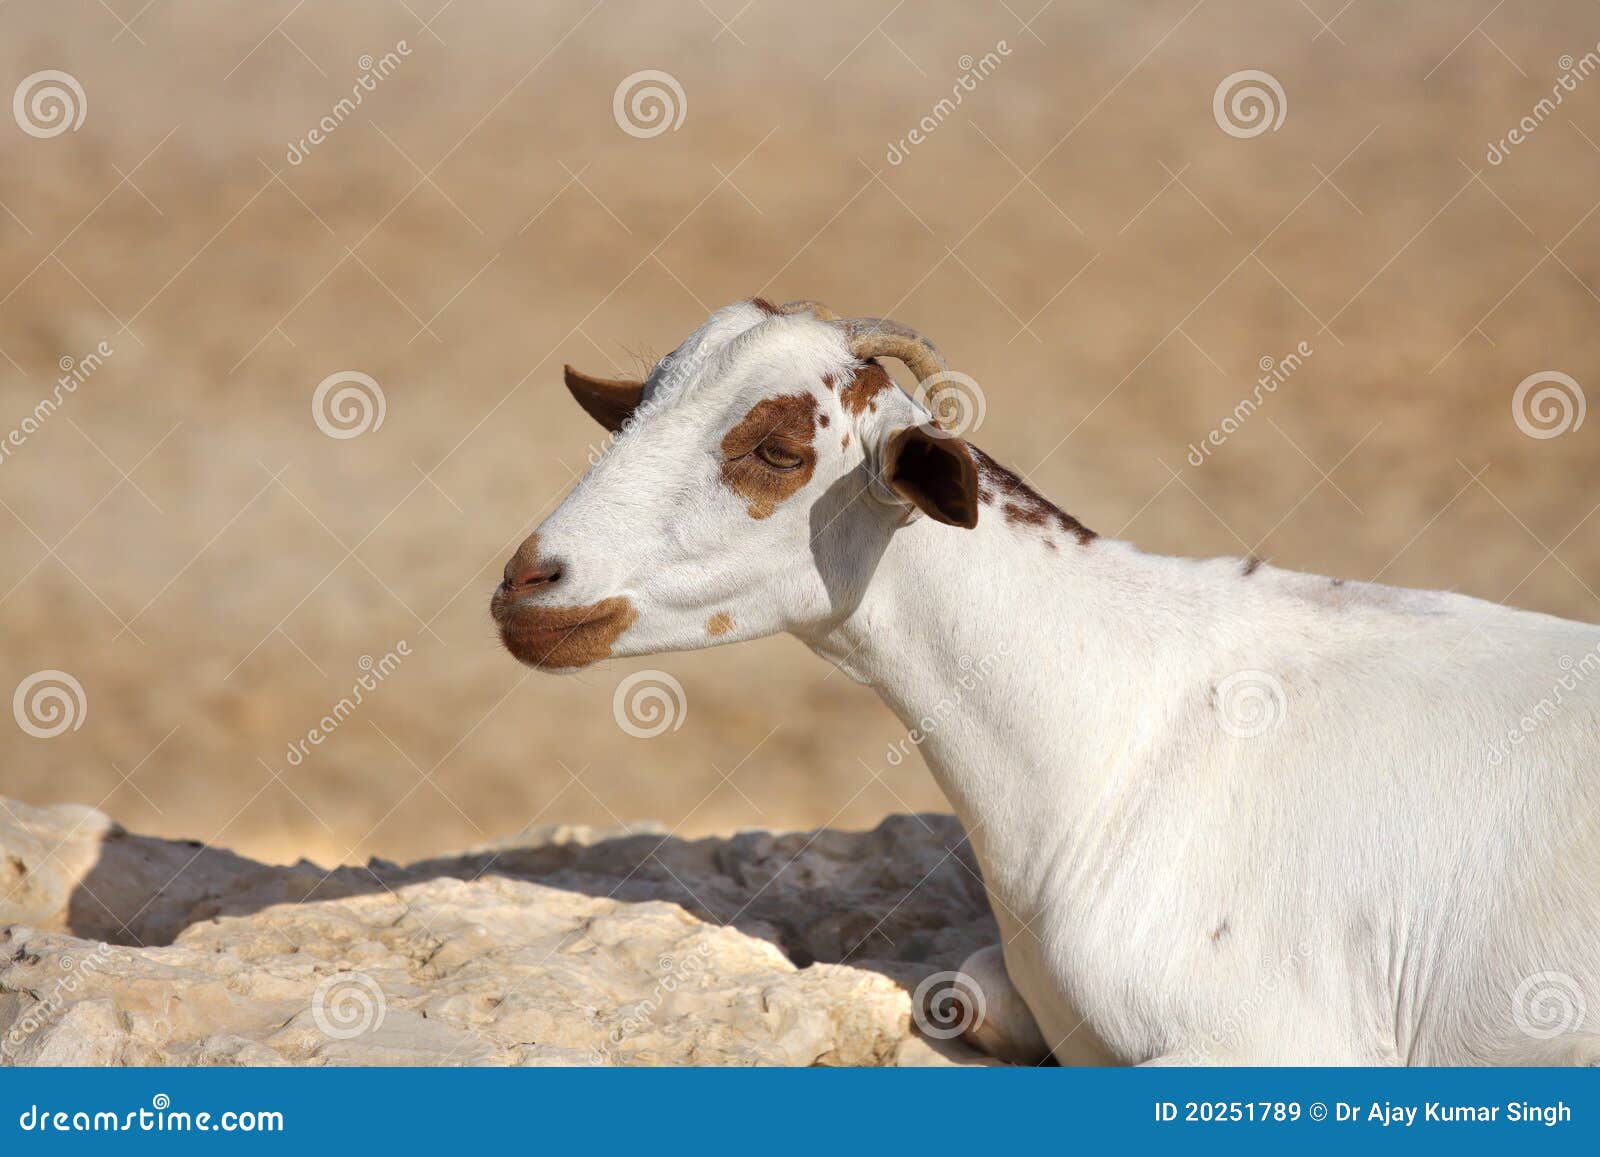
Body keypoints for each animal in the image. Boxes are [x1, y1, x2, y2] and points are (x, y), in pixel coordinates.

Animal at [490, 297, 1600, 1066]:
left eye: (776, 447)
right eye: (637, 409)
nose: (528, 582)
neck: (1120, 728)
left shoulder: (1278, 1042)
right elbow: (963, 988)